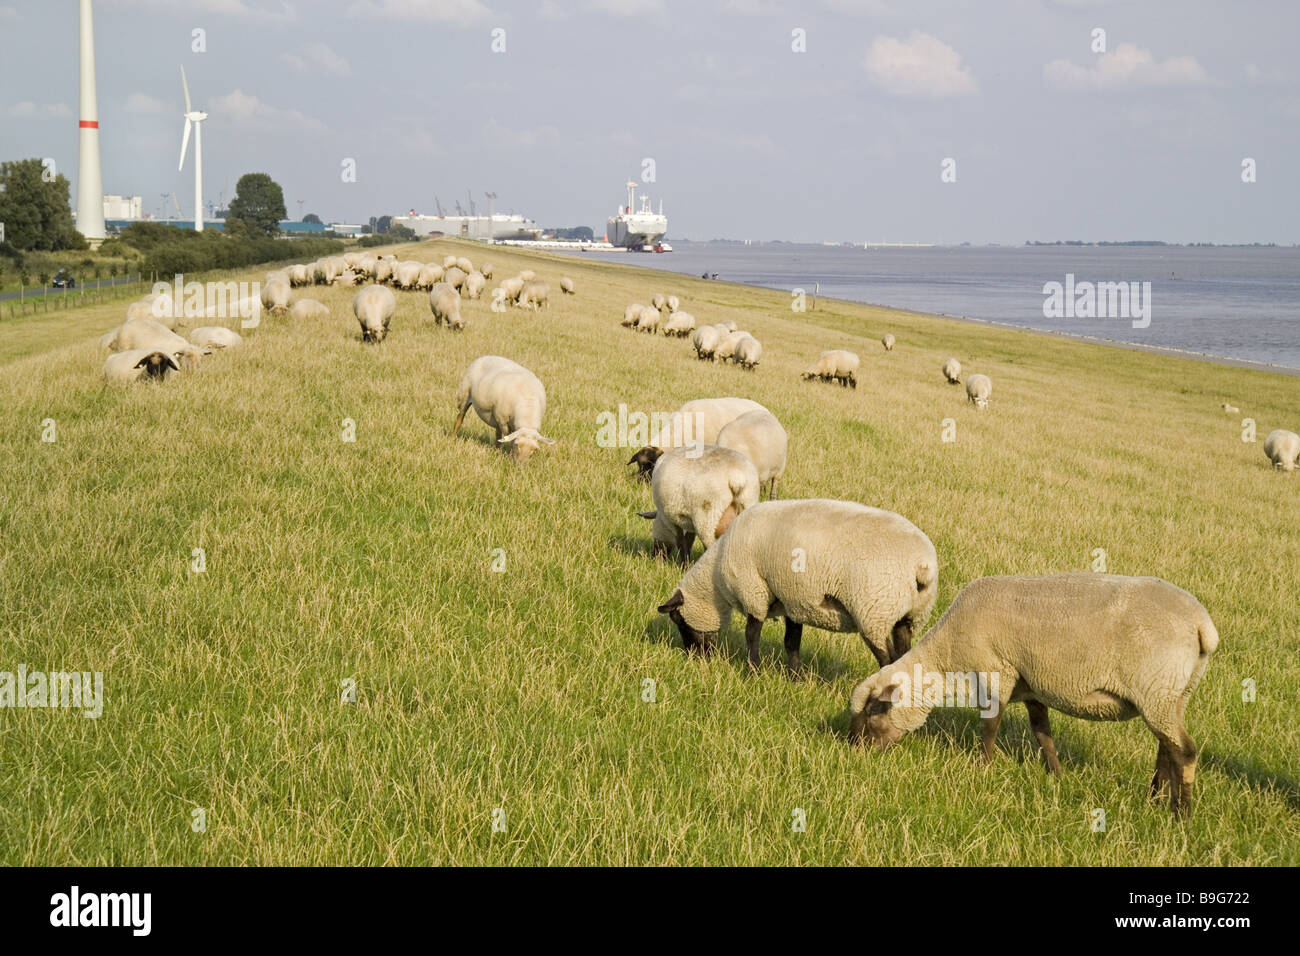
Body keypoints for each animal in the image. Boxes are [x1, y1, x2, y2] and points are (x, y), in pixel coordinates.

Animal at [657, 498, 939, 673]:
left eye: (677, 620)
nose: (694, 658)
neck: (716, 579)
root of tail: (921, 566)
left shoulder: (754, 592)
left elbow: (752, 635)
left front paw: (754, 671)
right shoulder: (793, 601)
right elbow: (791, 642)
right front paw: (796, 677)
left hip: (875, 612)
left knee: (888, 660)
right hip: (908, 616)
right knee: (903, 658)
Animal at [847, 573, 1218, 816]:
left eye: (875, 709)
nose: (853, 751)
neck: (946, 657)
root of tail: (1202, 625)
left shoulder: (997, 671)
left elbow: (990, 727)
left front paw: (982, 769)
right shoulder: (1030, 685)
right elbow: (1043, 733)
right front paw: (1056, 775)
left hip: (1156, 688)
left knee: (1184, 751)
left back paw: (1182, 814)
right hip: (1171, 693)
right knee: (1167, 748)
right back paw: (1155, 798)